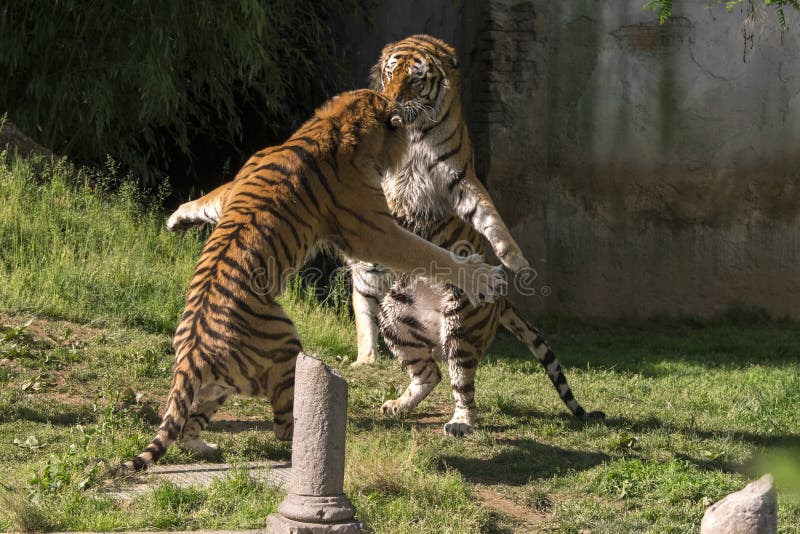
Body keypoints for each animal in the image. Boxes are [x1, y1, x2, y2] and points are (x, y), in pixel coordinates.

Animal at [122, 89, 506, 471]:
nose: (408, 111)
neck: (330, 125)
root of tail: (190, 356)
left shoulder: (236, 185)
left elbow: (208, 198)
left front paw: (176, 218)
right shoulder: (373, 230)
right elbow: (425, 252)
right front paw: (481, 276)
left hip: (216, 386)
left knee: (187, 425)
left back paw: (206, 447)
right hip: (286, 348)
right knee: (282, 425)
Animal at [166, 35, 604, 437]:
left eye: (415, 79)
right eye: (390, 74)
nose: (393, 104)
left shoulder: (451, 183)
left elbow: (484, 218)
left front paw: (510, 260)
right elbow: (210, 197)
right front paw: (177, 218)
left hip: (461, 327)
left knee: (462, 384)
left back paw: (459, 421)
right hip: (397, 320)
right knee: (427, 370)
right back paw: (392, 399)